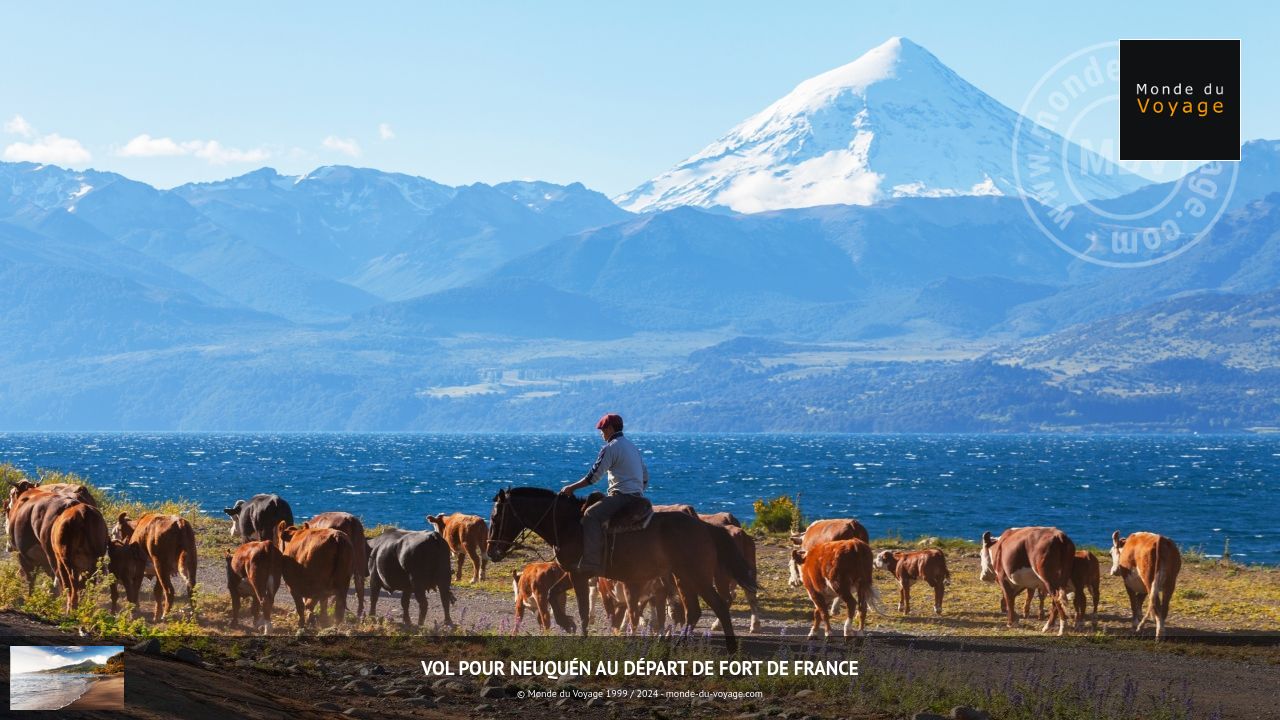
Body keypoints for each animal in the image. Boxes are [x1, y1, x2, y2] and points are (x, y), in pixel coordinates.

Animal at [483, 486, 752, 650]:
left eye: (496, 517)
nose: (492, 551)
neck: (568, 524)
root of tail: (705, 527)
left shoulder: (580, 574)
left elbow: (583, 610)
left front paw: (580, 637)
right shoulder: (574, 573)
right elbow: (552, 594)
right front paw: (566, 623)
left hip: (696, 576)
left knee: (717, 606)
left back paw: (730, 649)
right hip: (682, 577)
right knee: (693, 610)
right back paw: (677, 647)